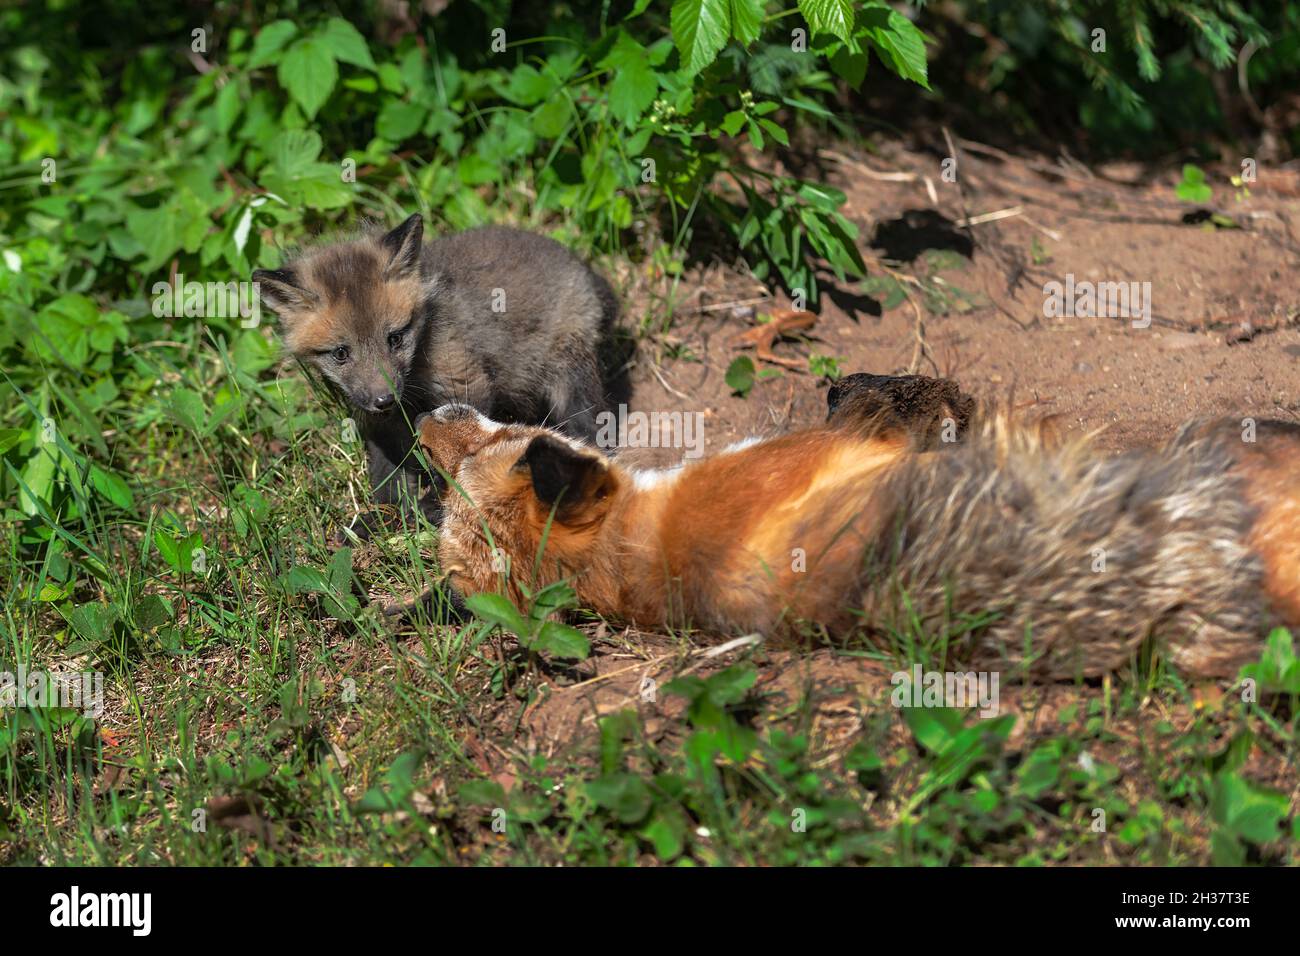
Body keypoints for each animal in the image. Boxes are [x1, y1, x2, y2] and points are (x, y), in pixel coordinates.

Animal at [252, 213, 615, 537]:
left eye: (395, 338)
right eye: (341, 353)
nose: (384, 399)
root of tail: (577, 262)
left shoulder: (464, 380)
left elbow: (455, 452)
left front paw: (431, 509)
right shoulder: (382, 421)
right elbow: (387, 476)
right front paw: (384, 518)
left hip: (568, 379)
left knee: (593, 432)